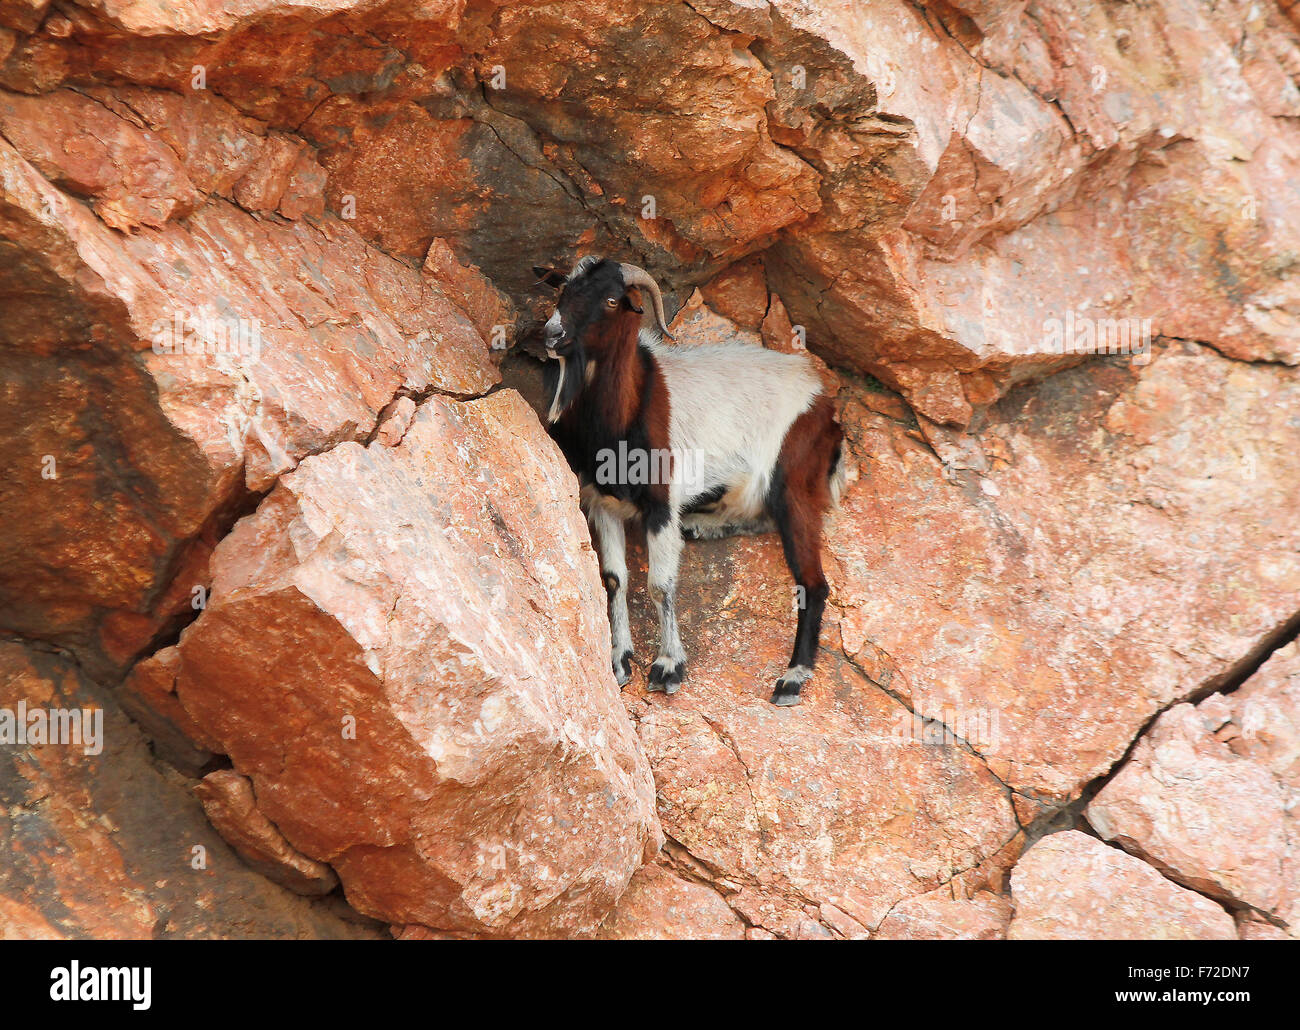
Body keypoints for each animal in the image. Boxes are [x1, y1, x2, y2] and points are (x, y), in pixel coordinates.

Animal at [533, 257, 845, 706]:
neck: (625, 413)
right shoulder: (601, 501)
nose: (553, 335)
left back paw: (792, 679)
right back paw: (701, 526)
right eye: (564, 291)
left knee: (813, 583)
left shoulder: (661, 504)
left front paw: (668, 667)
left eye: (610, 299)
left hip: (793, 483)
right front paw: (619, 661)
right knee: (759, 518)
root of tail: (825, 408)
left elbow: (660, 585)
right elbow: (615, 580)